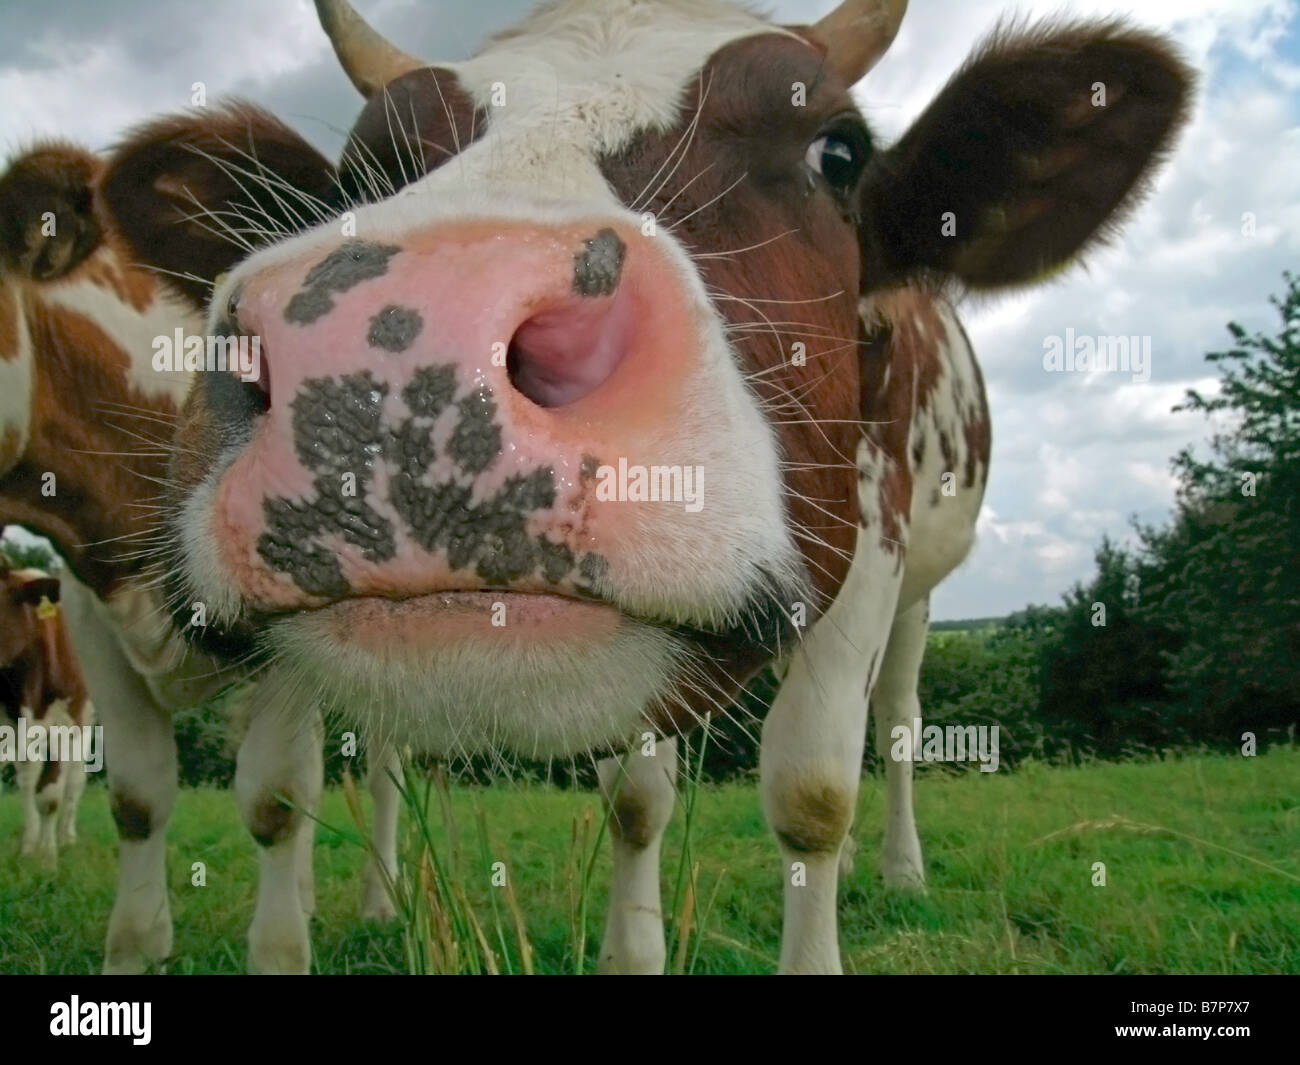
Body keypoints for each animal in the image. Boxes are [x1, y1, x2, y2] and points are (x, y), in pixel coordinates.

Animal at [0, 563, 93, 866]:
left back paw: (66, 838)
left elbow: (51, 795)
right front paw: (30, 848)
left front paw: (48, 857)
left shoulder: (66, 721)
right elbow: (29, 783)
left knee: (75, 781)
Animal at [109, 0, 1191, 974]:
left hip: (923, 590)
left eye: (838, 154)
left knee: (896, 724)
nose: (401, 329)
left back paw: (898, 870)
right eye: (363, 172)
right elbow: (635, 799)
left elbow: (813, 795)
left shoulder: (871, 540)